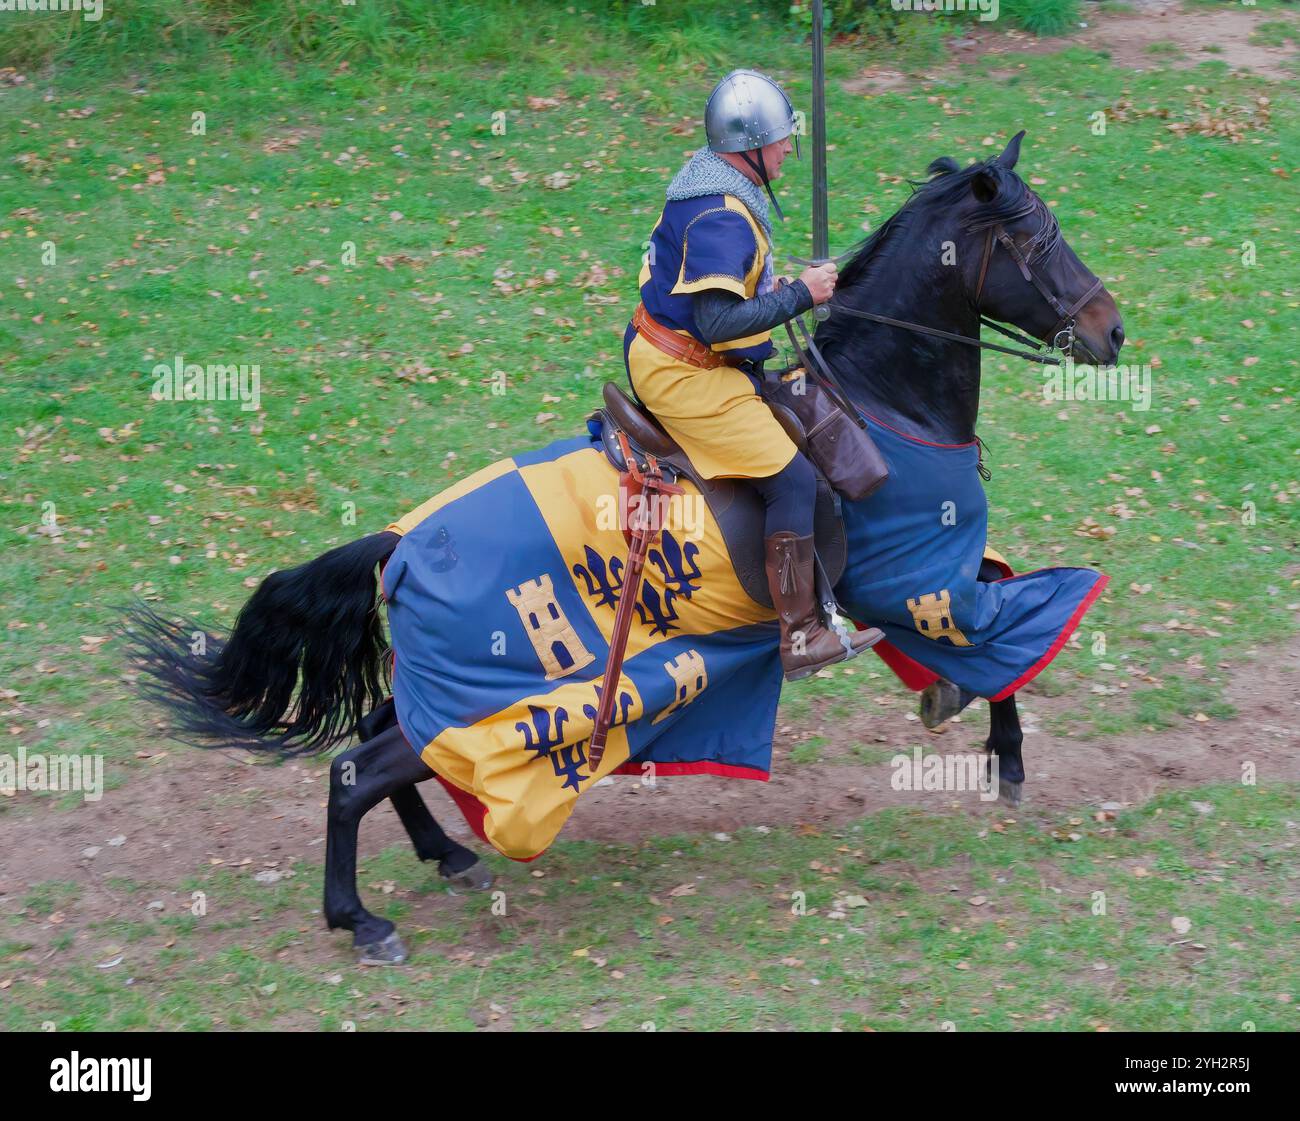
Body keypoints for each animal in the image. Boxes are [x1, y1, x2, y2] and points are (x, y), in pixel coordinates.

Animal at [126, 131, 1123, 964]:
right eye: (1038, 240)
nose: (1112, 330)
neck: (881, 397)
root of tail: (399, 544)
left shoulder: (929, 582)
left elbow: (998, 616)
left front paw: (963, 714)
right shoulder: (919, 582)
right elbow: (1009, 632)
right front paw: (1005, 757)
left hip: (445, 704)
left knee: (378, 741)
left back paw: (446, 852)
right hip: (482, 707)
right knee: (349, 770)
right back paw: (361, 919)